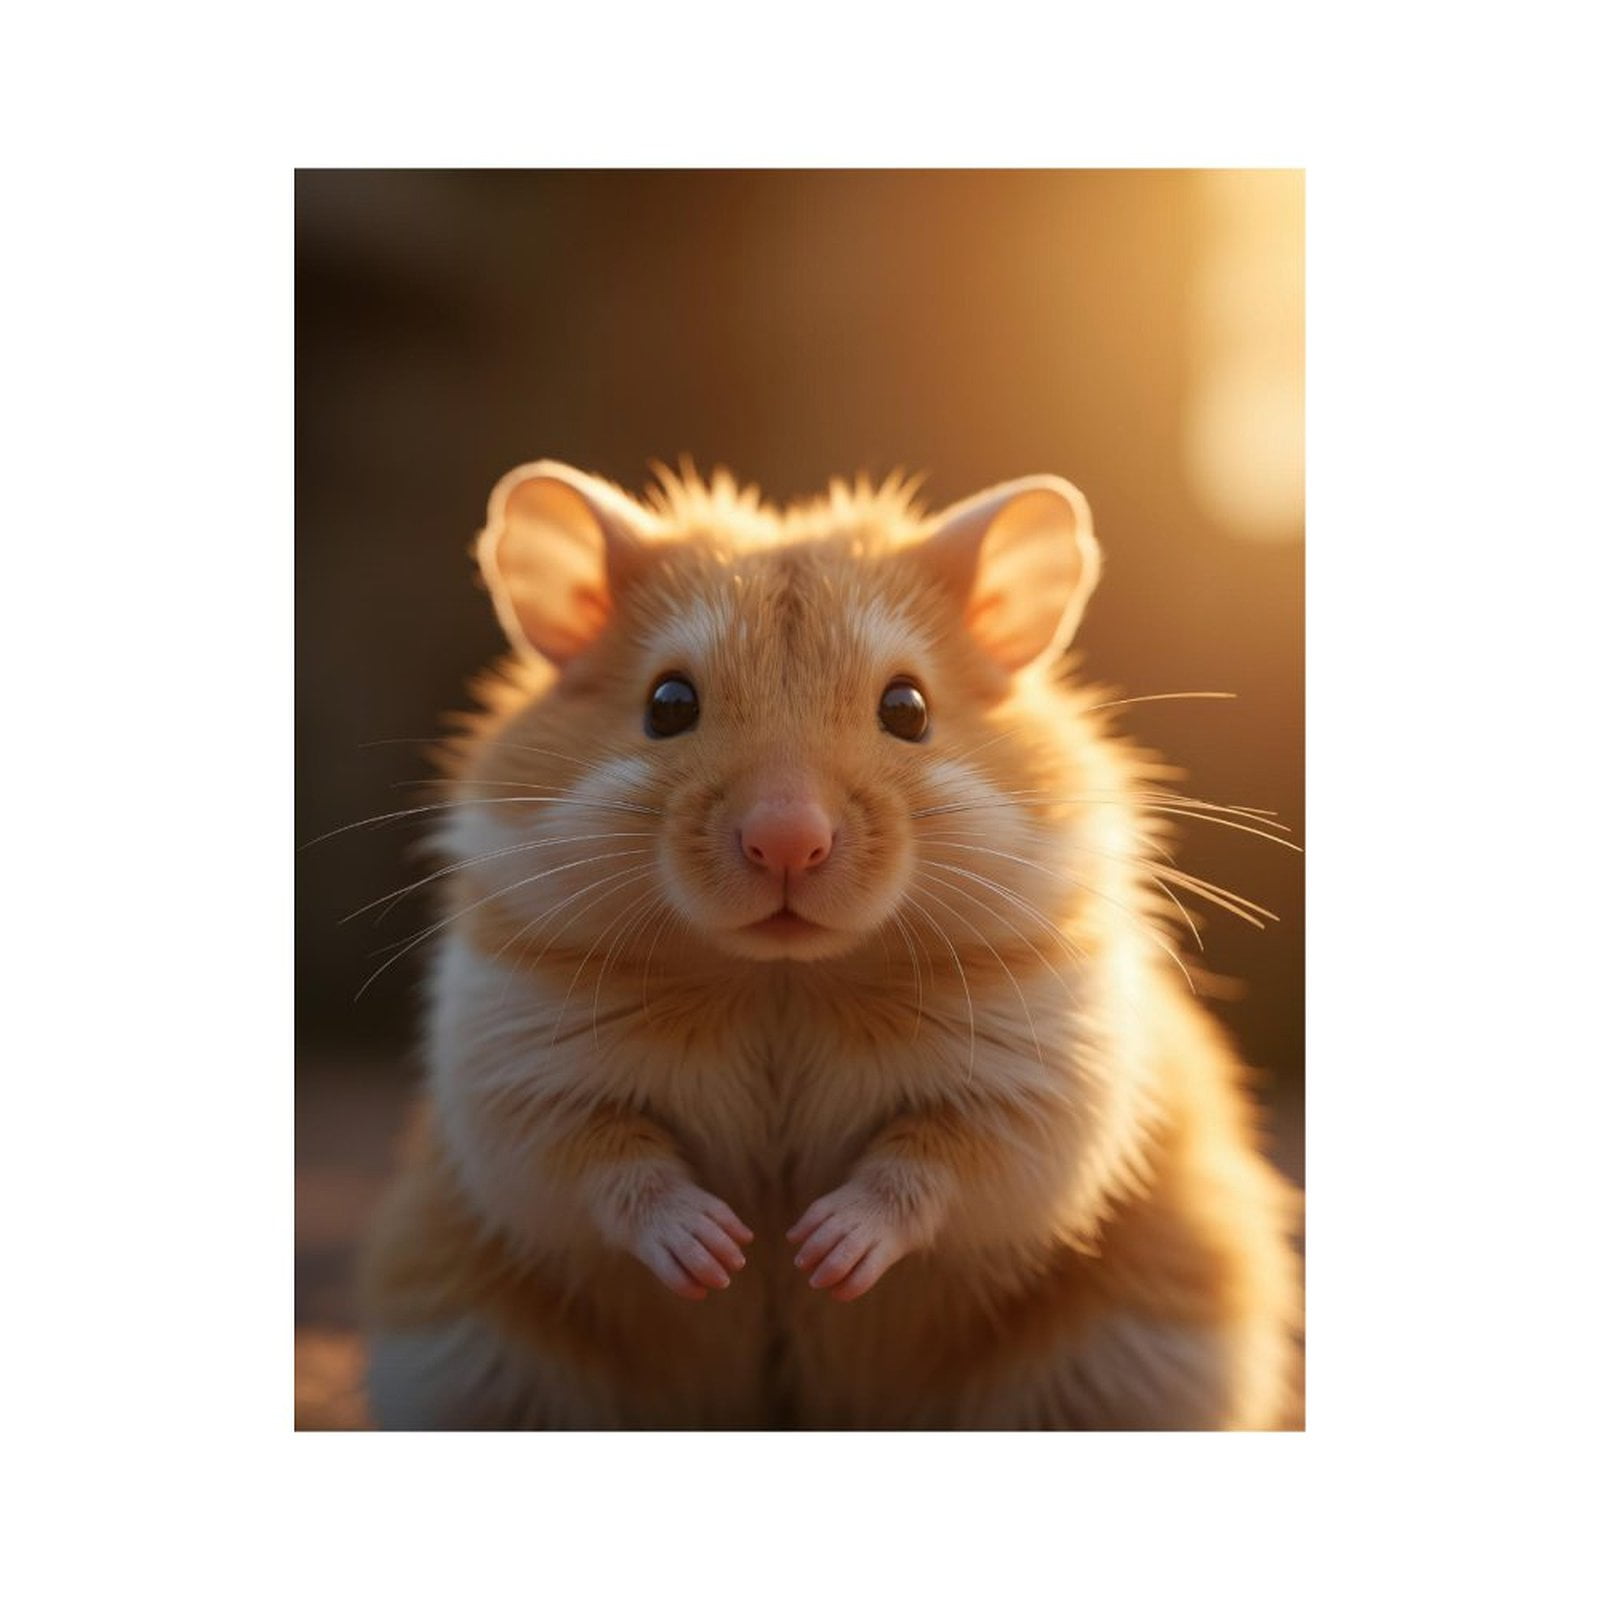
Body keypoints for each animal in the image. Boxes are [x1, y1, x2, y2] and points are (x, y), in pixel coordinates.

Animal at [356, 460, 1303, 1429]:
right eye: (668, 704)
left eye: (909, 708)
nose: (788, 844)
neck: (785, 978)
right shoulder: (522, 1079)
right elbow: (615, 1169)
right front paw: (722, 1254)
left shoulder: (1037, 1089)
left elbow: (926, 1169)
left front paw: (820, 1253)